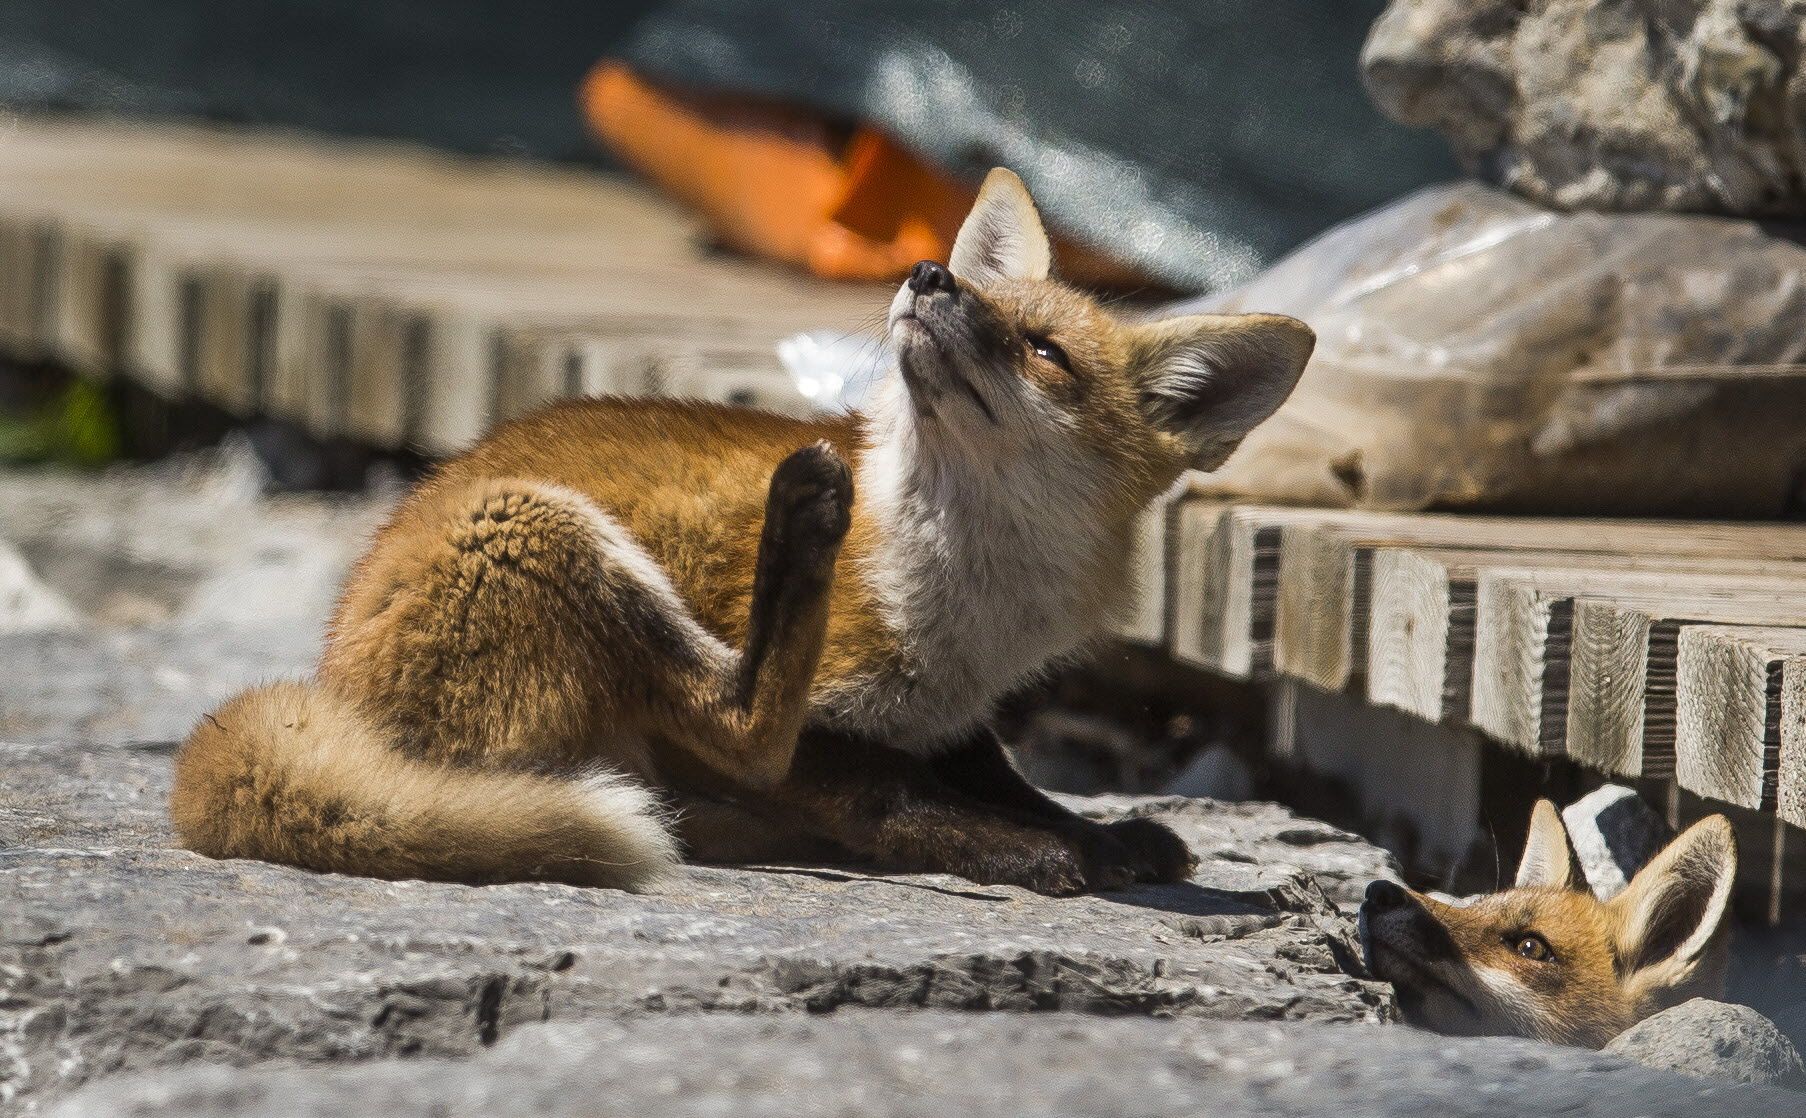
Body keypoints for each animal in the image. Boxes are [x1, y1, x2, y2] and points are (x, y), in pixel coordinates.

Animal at [169, 168, 1314, 896]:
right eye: (979, 288)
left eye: (1043, 349)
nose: (928, 274)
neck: (959, 600)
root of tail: (331, 684)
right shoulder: (835, 727)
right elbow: (884, 794)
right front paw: (1025, 854)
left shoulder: (948, 717)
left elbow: (1008, 778)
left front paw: (1098, 832)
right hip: (557, 539)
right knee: (743, 730)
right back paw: (798, 526)